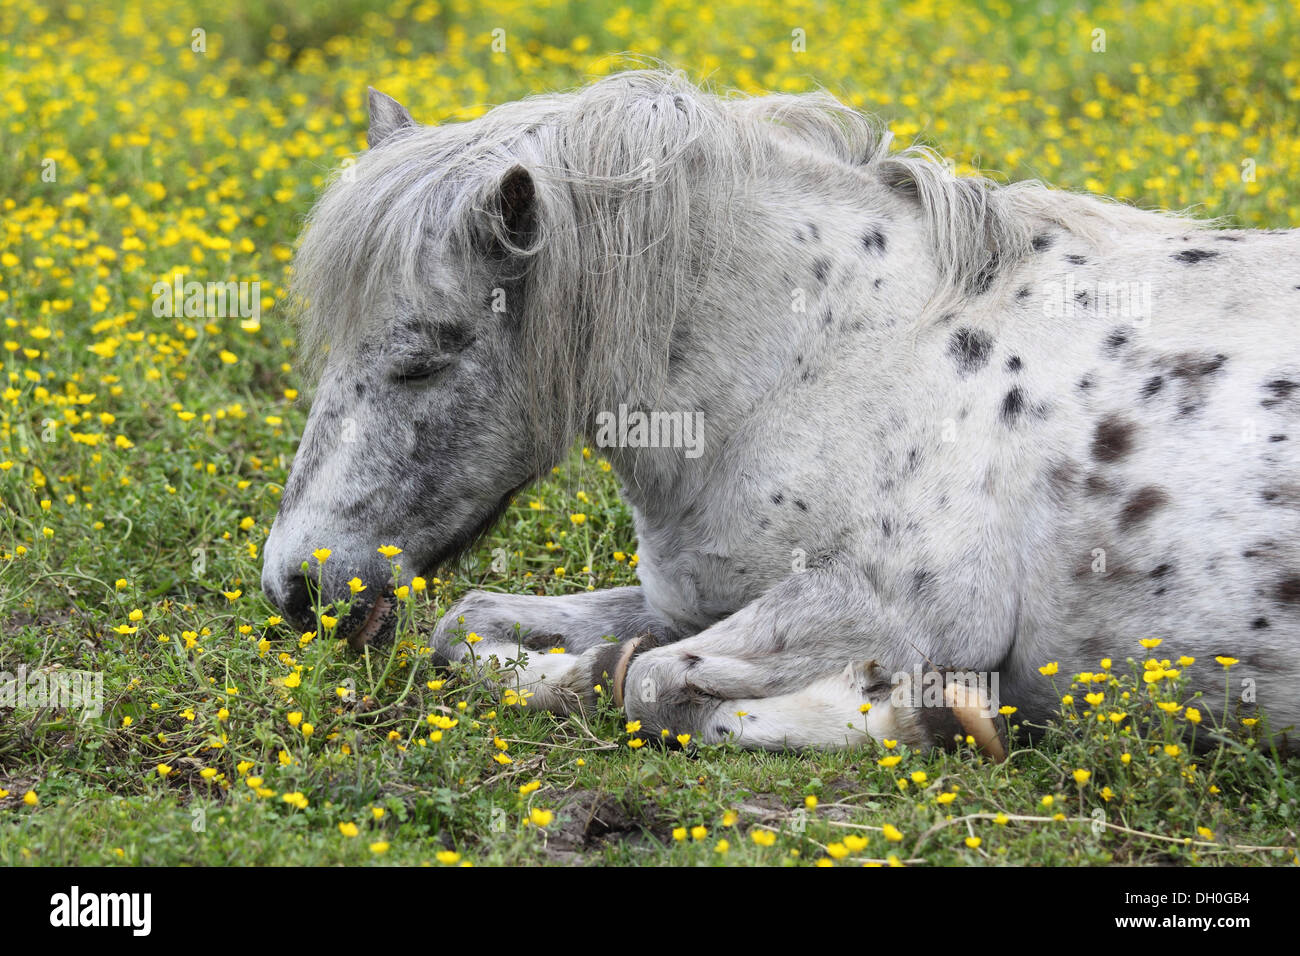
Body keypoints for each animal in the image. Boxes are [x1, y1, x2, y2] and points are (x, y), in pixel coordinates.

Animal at [262, 69, 1300, 754]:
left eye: (428, 356)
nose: (296, 588)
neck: (837, 356)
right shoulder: (693, 598)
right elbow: (470, 623)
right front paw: (575, 675)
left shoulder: (893, 615)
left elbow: (651, 682)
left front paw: (918, 716)